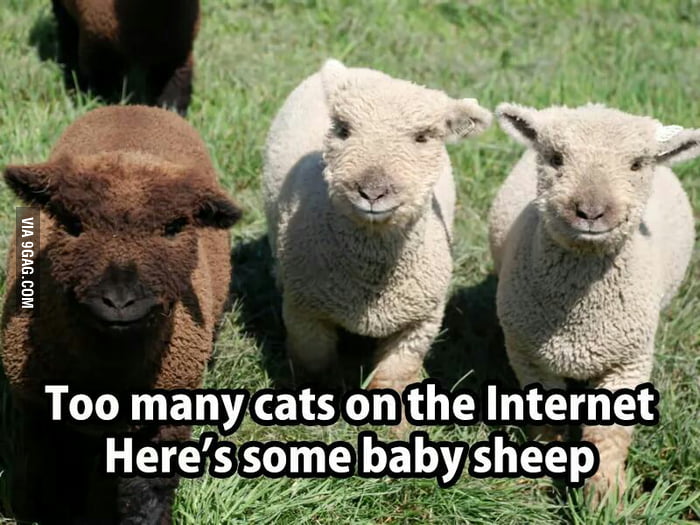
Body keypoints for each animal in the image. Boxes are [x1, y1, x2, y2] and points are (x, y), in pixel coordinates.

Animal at [2, 105, 241, 524]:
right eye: (71, 223)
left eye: (175, 227)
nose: (119, 300)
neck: (110, 372)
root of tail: (134, 107)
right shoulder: (41, 415)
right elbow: (54, 488)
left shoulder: (165, 416)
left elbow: (148, 494)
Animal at [263, 59, 491, 395]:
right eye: (343, 129)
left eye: (422, 137)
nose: (371, 192)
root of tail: (358, 68)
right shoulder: (306, 313)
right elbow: (315, 368)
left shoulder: (419, 323)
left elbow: (394, 377)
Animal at [488, 102, 697, 504]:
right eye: (556, 158)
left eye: (637, 164)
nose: (590, 211)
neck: (579, 321)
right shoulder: (528, 355)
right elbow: (546, 421)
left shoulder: (628, 362)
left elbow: (609, 434)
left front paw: (604, 500)